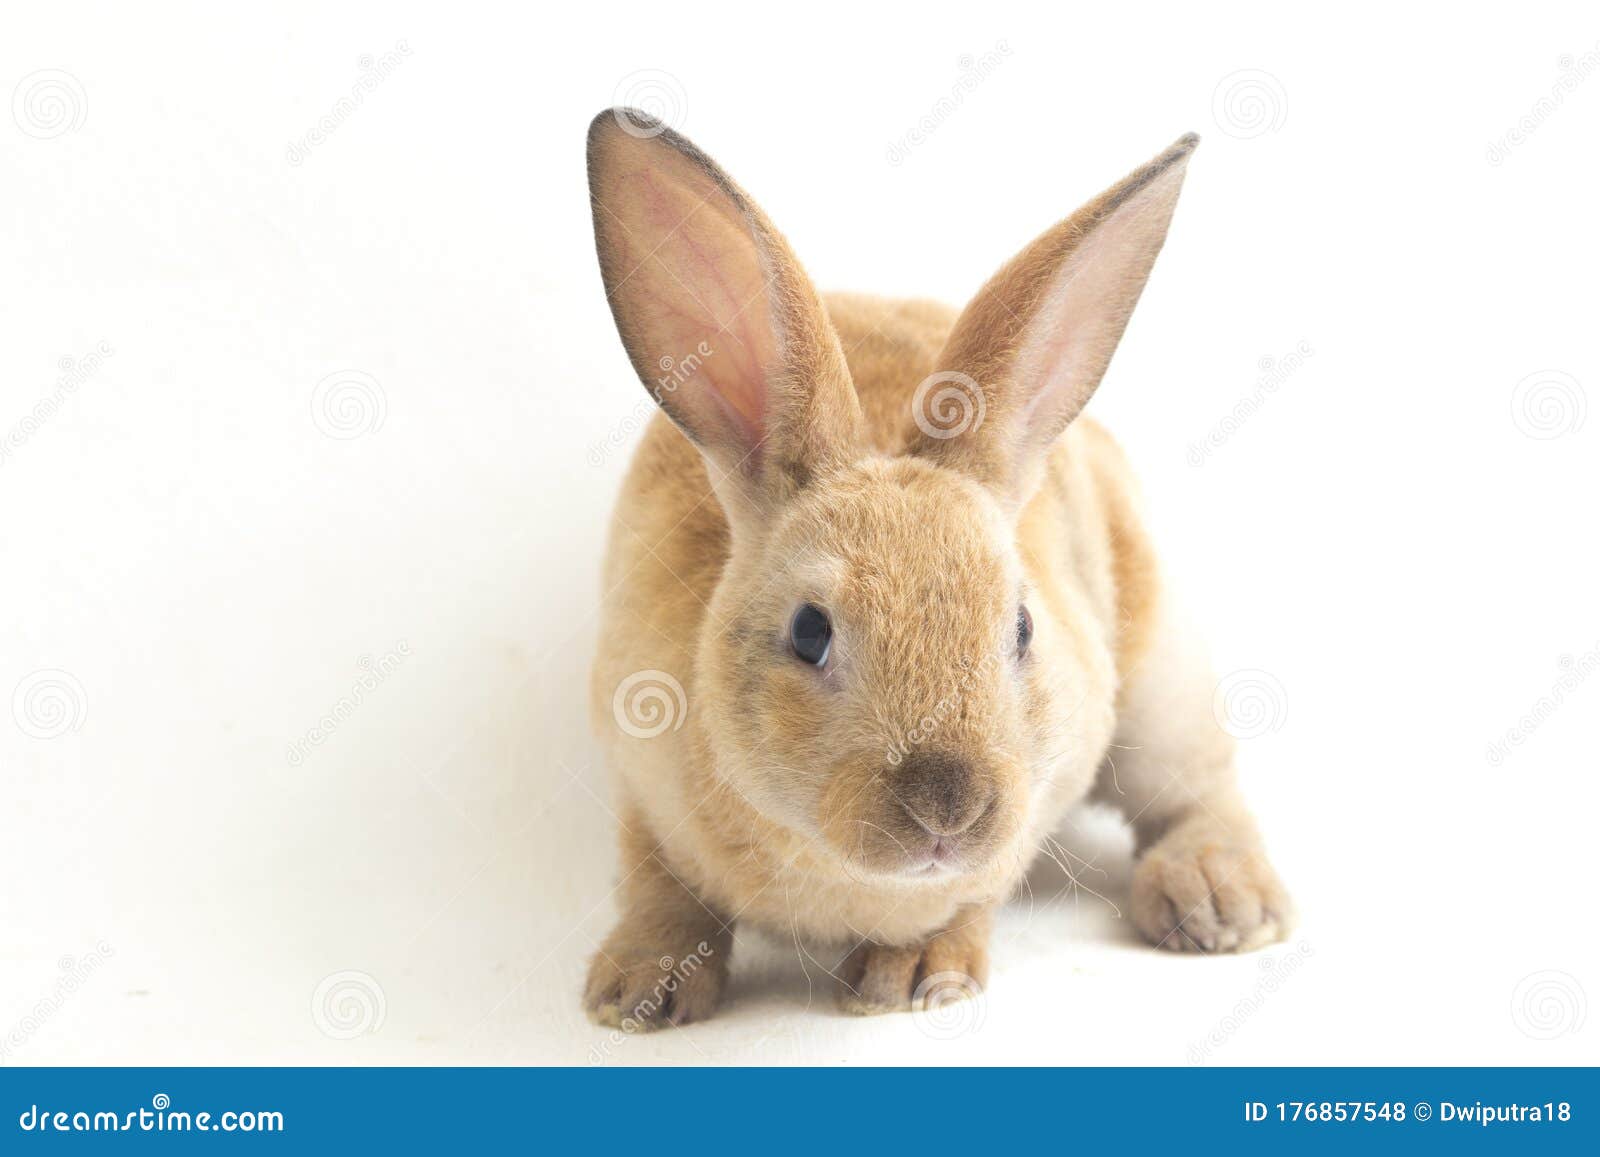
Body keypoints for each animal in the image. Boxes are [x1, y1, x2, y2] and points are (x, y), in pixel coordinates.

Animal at [582, 107, 1293, 1029]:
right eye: (809, 632)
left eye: (1021, 627)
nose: (949, 806)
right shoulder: (639, 787)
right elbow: (659, 888)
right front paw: (636, 992)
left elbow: (971, 899)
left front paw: (910, 978)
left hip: (1163, 684)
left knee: (1196, 793)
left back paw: (1222, 904)